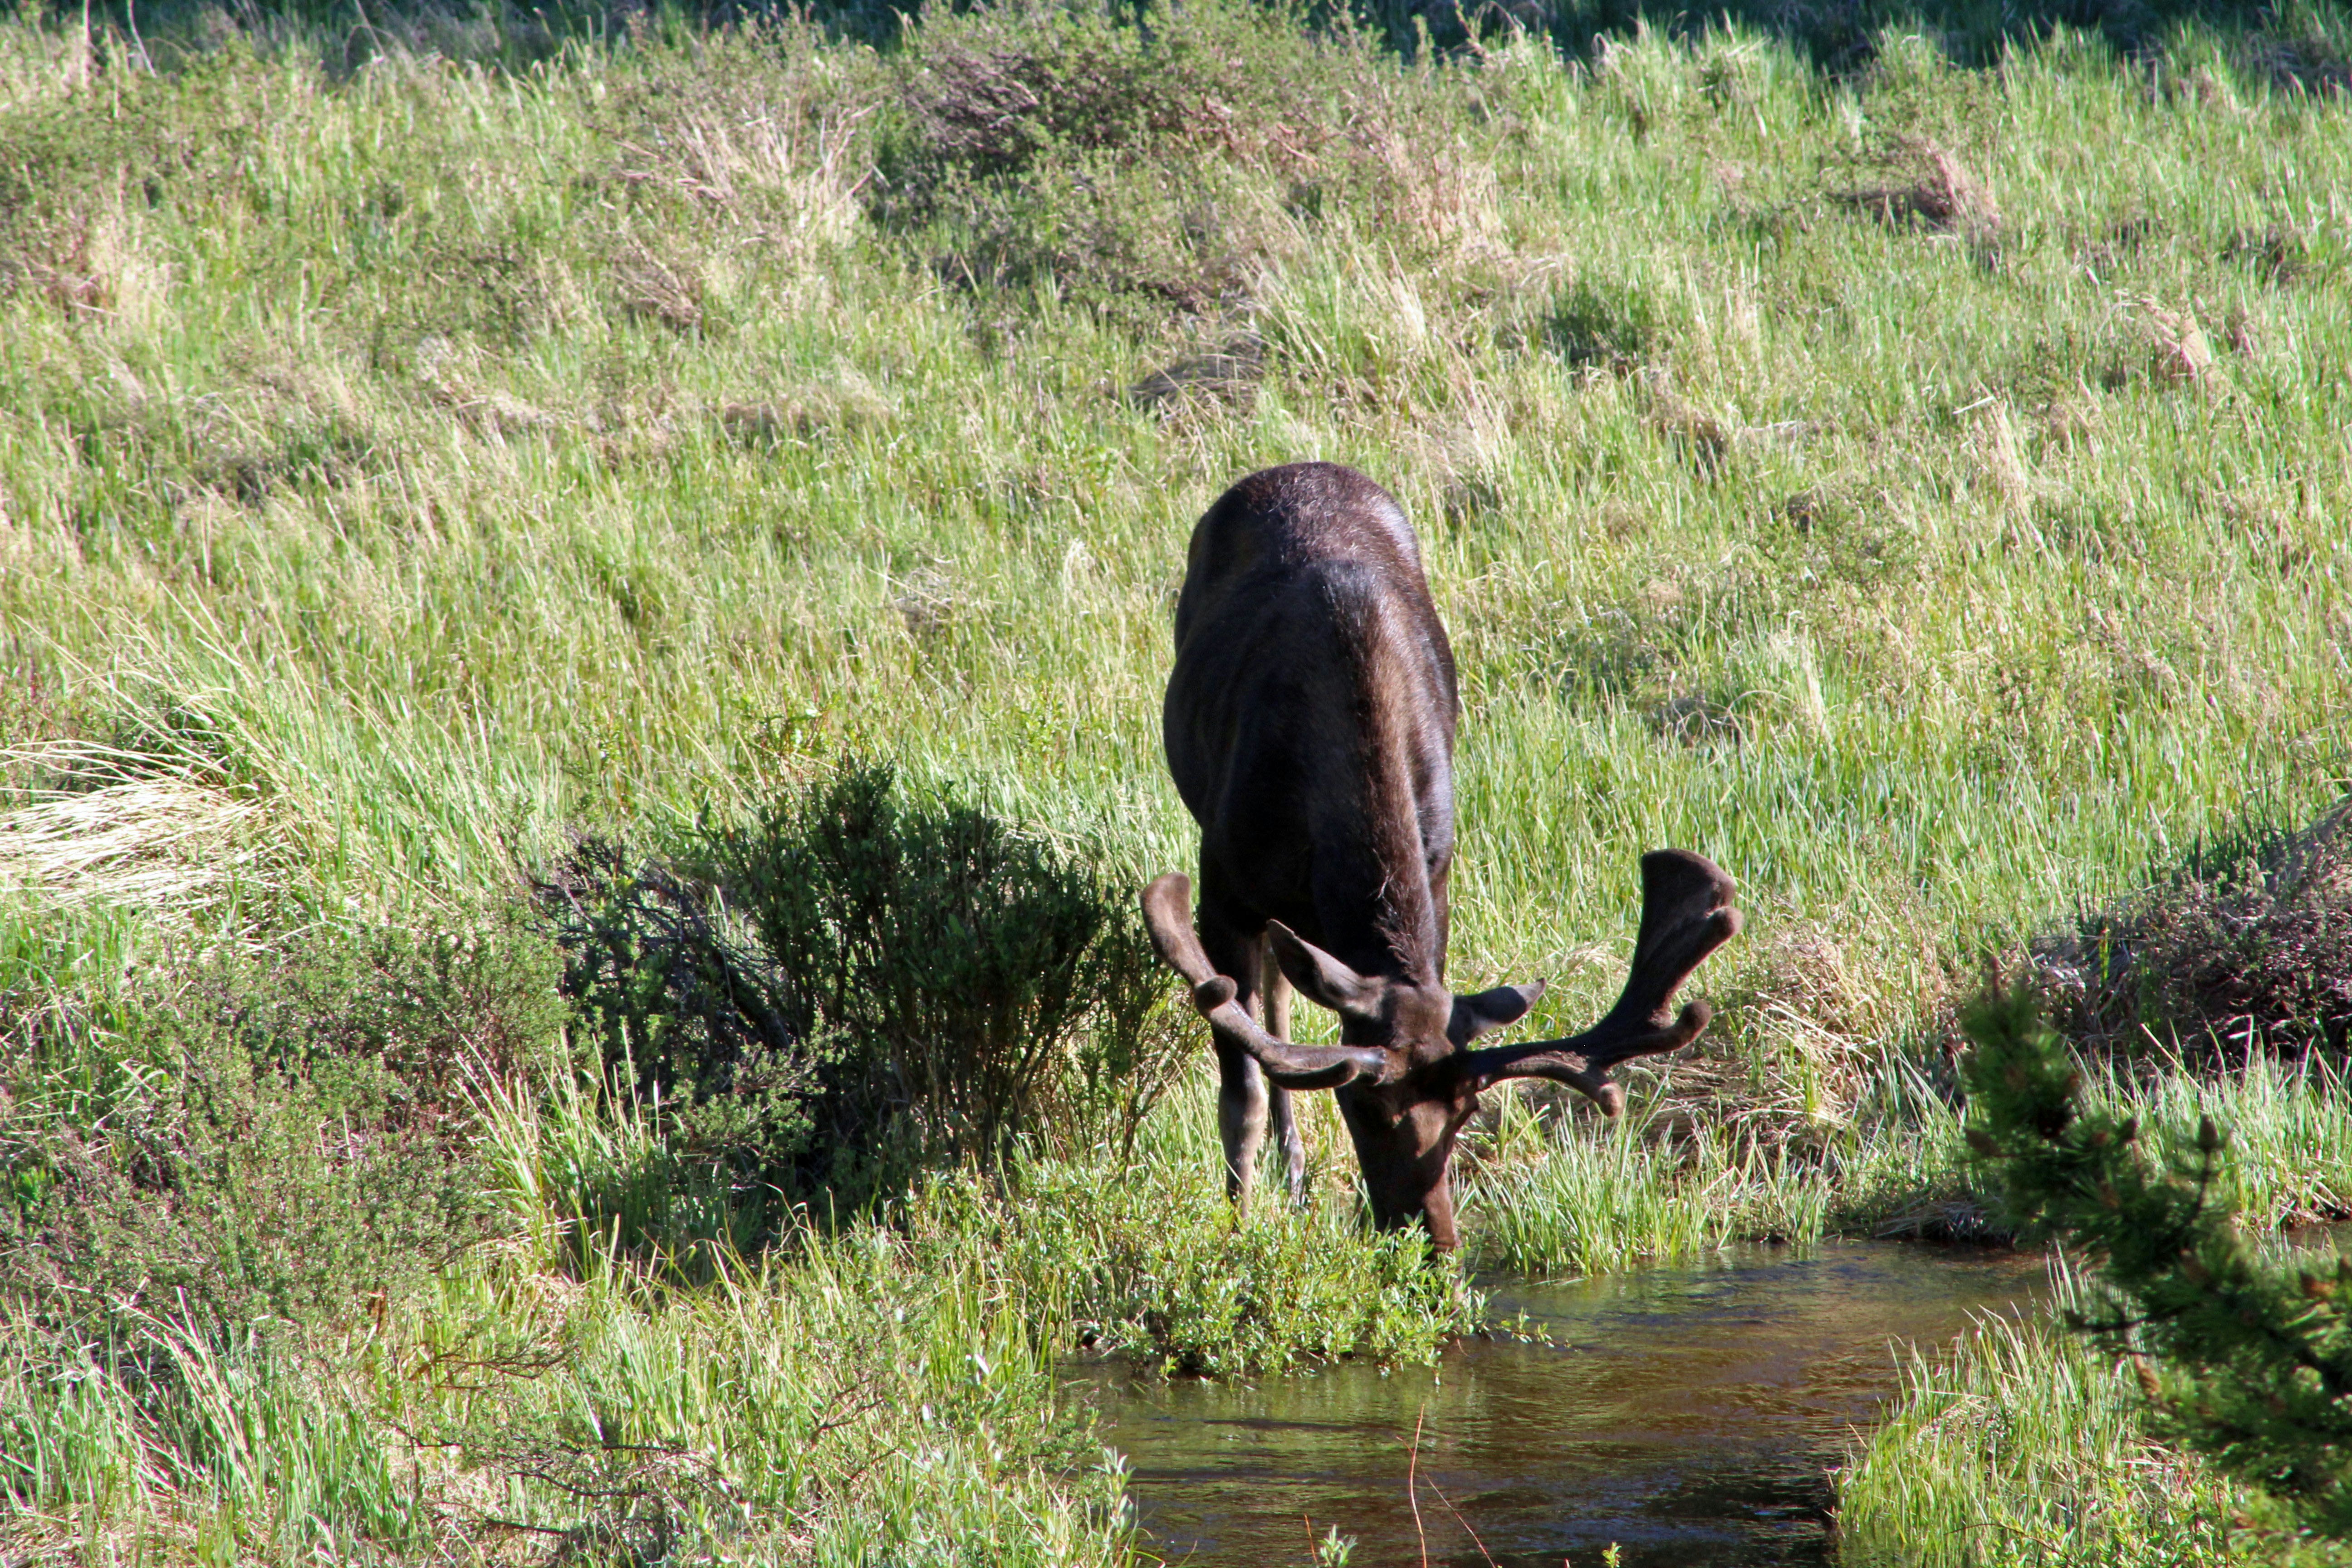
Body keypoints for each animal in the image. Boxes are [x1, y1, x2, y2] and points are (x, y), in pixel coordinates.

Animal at [1142, 462, 1741, 1251]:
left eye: (1467, 1112)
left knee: (1280, 988)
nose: (1435, 1242)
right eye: (1363, 1108)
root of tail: (1292, 468)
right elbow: (1237, 1090)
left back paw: (1295, 1175)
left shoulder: (1441, 870)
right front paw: (1237, 1227)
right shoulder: (1220, 880)